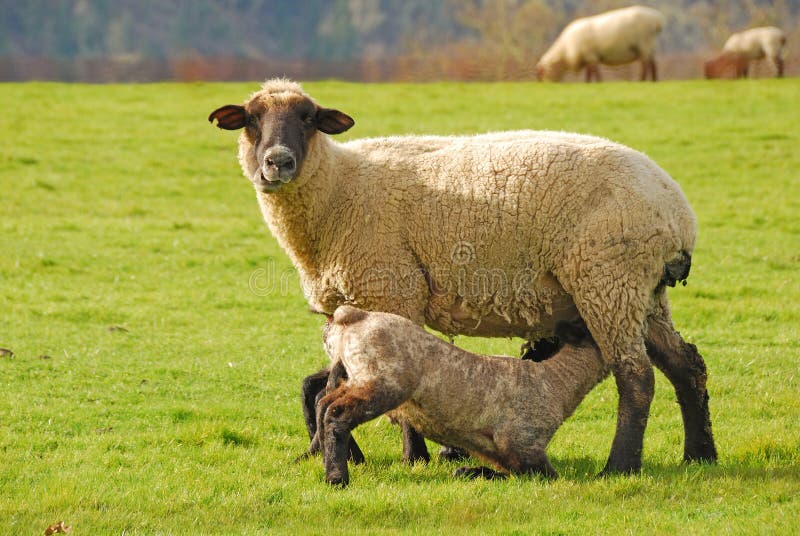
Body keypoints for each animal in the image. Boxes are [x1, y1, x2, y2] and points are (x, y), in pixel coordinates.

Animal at [317, 306, 608, 486]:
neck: (557, 381)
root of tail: (356, 316)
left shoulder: (502, 453)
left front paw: (467, 472)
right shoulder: (522, 445)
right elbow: (547, 477)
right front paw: (469, 472)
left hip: (350, 374)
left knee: (323, 403)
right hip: (383, 383)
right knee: (337, 414)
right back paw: (337, 478)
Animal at [535, 6, 665, 82]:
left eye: (542, 73)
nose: (545, 85)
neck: (564, 51)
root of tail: (657, 19)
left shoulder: (590, 55)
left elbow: (594, 71)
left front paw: (598, 82)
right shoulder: (588, 57)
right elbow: (589, 72)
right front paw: (588, 83)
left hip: (644, 44)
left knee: (645, 64)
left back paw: (641, 80)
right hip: (650, 45)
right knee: (653, 63)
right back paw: (654, 80)